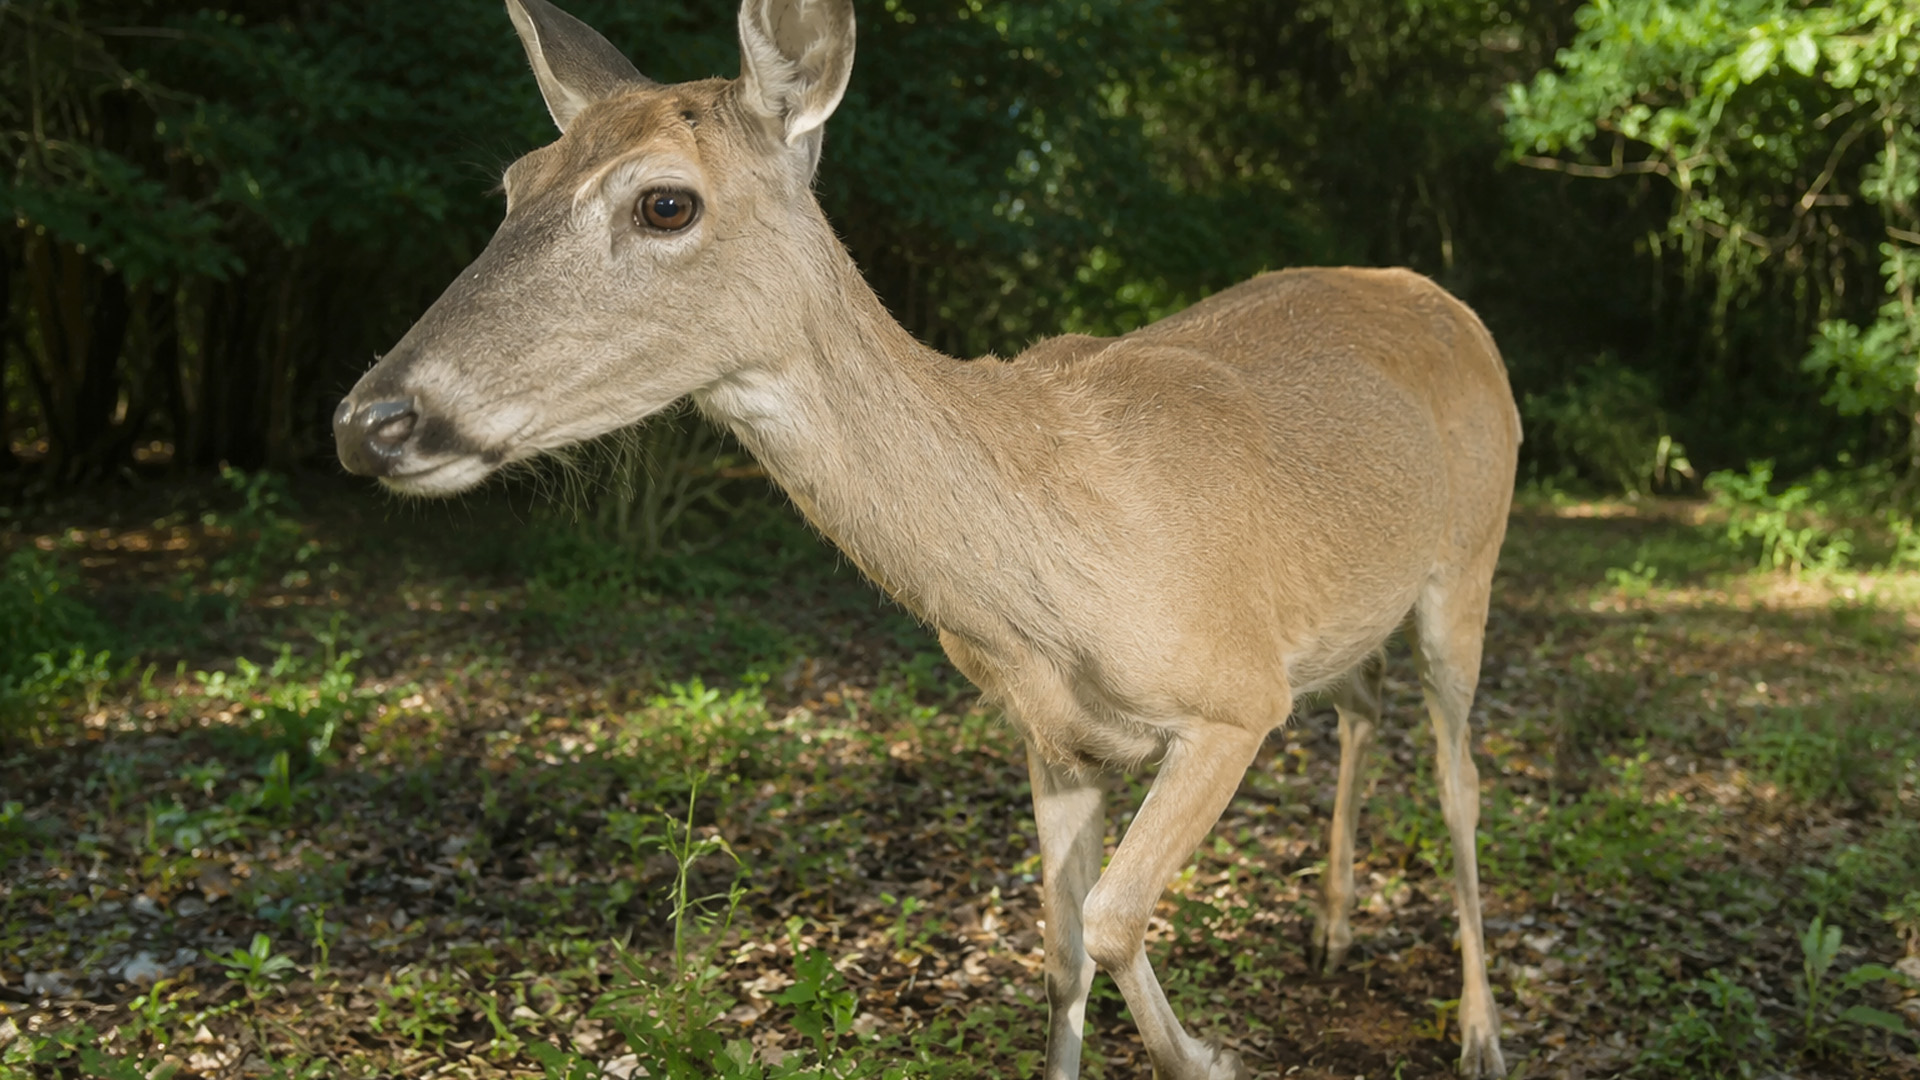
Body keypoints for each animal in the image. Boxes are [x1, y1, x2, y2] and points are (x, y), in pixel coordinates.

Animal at [331, 0, 1520, 1075]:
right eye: (514, 183)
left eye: (664, 201)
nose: (369, 422)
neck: (1051, 570)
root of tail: (1453, 304)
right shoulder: (1053, 735)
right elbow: (1060, 948)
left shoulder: (1235, 696)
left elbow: (1114, 918)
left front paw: (1213, 1054)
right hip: (1354, 608)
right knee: (1363, 705)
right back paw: (1332, 930)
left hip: (1470, 559)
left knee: (1460, 779)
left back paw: (1480, 1034)